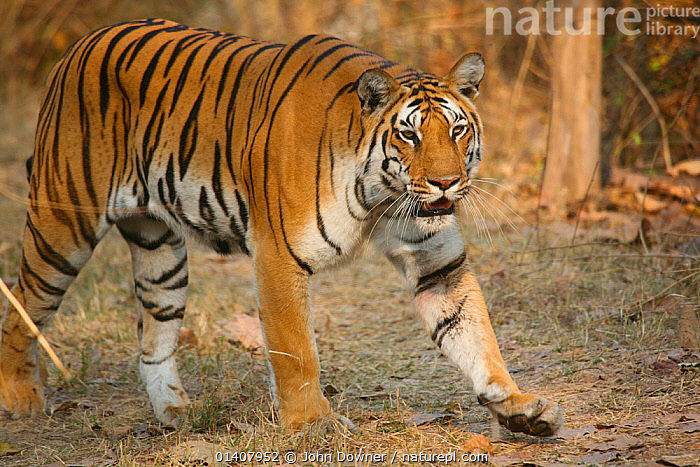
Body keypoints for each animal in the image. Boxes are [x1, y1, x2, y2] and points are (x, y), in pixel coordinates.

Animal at [0, 19, 563, 436]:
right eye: (409, 135)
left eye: (458, 129)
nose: (447, 183)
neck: (381, 194)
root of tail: (78, 45)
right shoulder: (278, 256)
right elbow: (296, 352)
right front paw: (313, 424)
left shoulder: (438, 266)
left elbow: (475, 336)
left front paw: (516, 404)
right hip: (62, 226)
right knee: (23, 302)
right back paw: (22, 397)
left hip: (161, 254)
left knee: (154, 336)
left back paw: (177, 415)